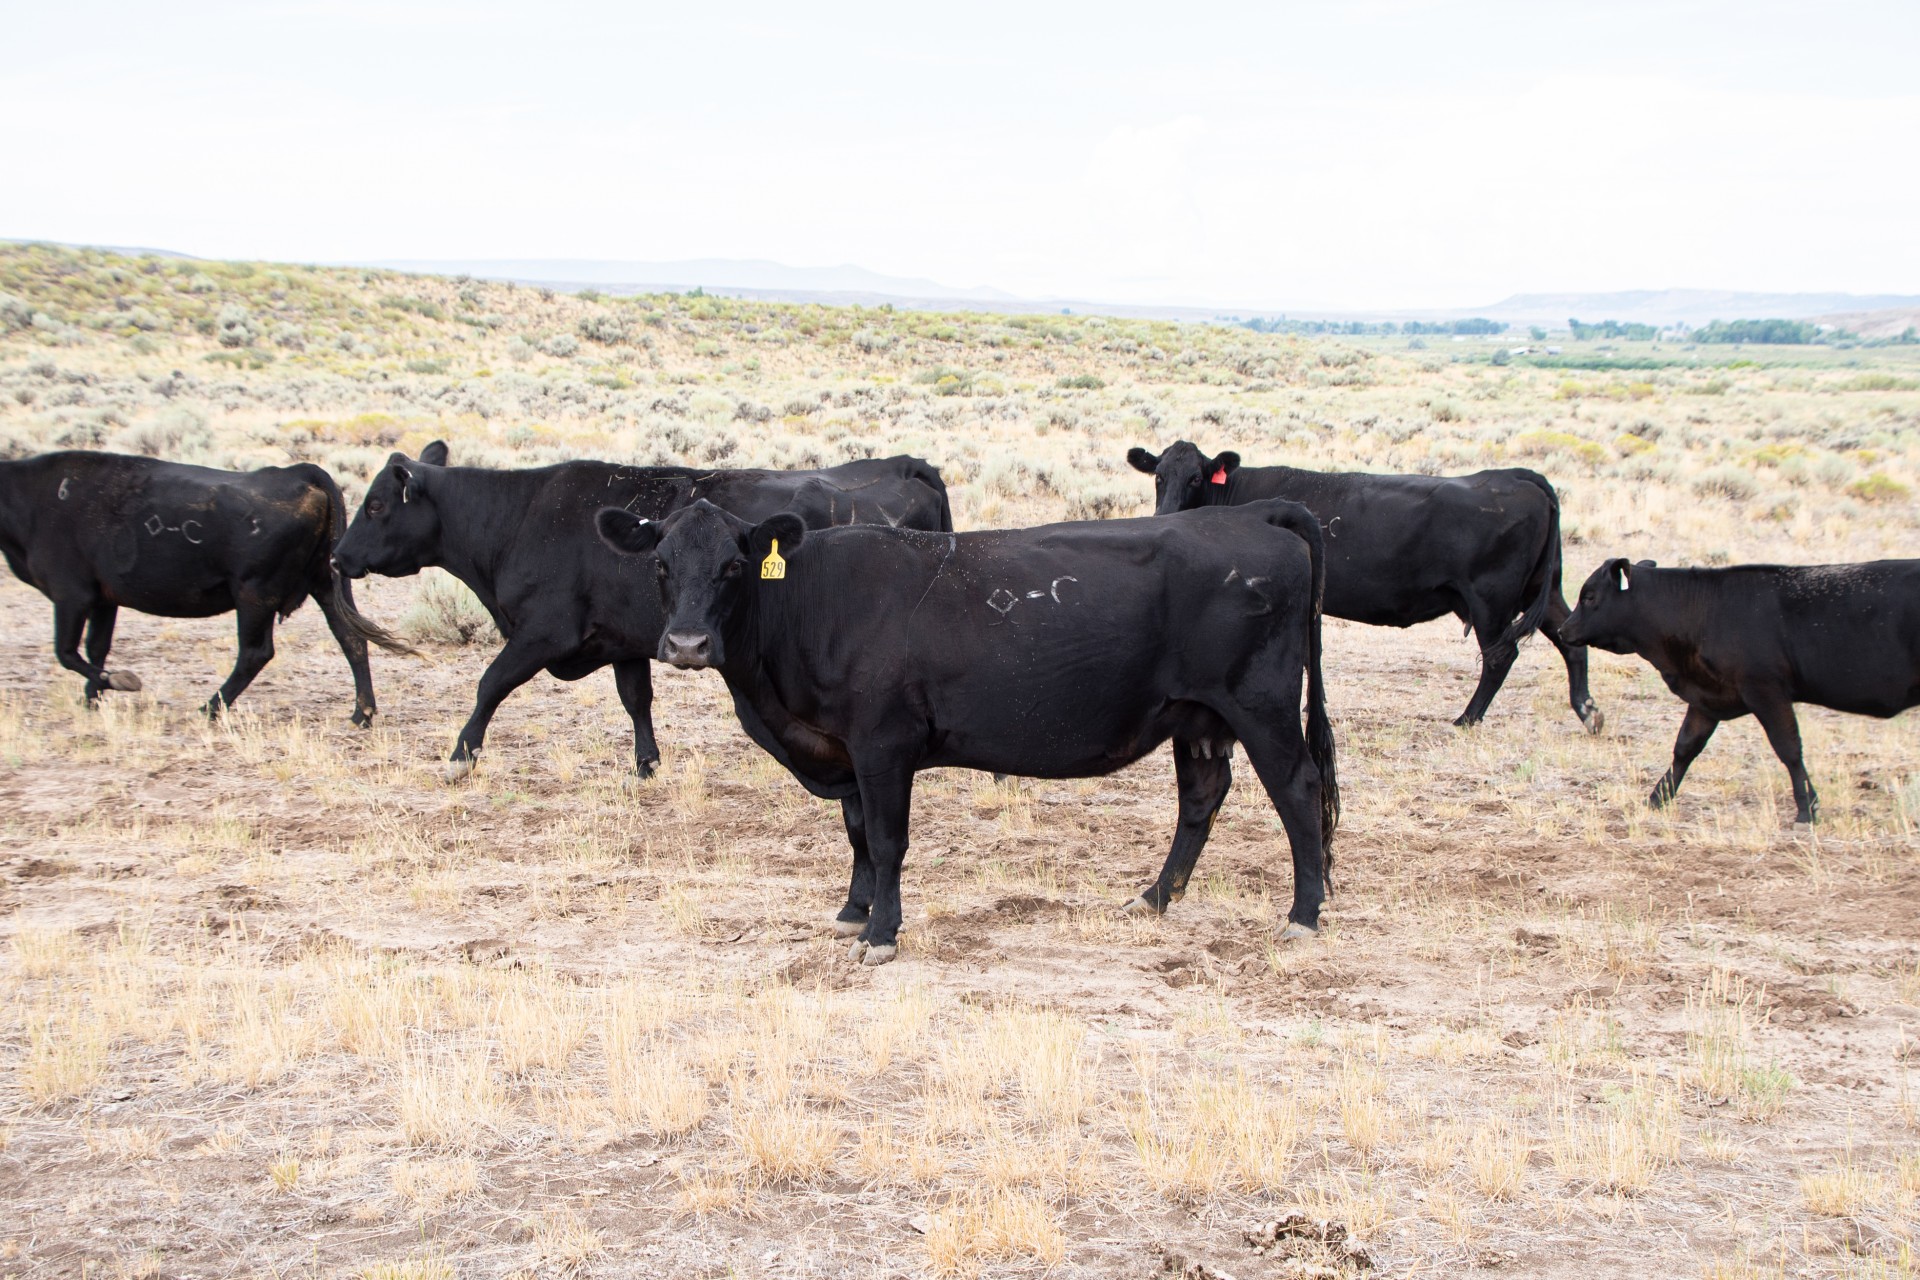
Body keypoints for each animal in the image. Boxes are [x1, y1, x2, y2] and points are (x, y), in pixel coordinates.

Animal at [0, 450, 413, 723]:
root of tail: (301, 472)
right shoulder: (104, 600)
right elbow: (95, 648)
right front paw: (92, 700)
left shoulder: (72, 595)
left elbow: (67, 652)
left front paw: (119, 682)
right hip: (326, 585)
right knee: (351, 638)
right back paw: (362, 712)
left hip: (255, 594)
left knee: (256, 652)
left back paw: (209, 707)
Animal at [330, 442, 952, 781]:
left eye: (377, 504)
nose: (337, 556)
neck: (521, 517)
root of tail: (906, 464)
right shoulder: (624, 641)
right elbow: (636, 700)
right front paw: (647, 764)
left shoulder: (542, 632)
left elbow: (491, 683)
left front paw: (462, 755)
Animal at [594, 496, 1339, 965]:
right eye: (660, 564)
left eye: (733, 565)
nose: (686, 645)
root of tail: (1248, 512)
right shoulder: (847, 751)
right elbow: (857, 834)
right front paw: (853, 910)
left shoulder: (883, 744)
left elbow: (888, 840)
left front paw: (881, 934)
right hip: (1196, 716)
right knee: (1201, 798)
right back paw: (1153, 898)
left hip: (1262, 706)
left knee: (1298, 793)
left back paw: (1302, 918)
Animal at [1129, 440, 1601, 733]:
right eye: (1159, 476)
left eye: (1196, 478)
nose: (1164, 513)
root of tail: (1517, 475)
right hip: (1542, 588)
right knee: (1571, 639)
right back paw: (1588, 712)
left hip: (1491, 597)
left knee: (1501, 656)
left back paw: (1467, 718)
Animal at [1561, 556, 1920, 825]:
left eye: (1589, 596)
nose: (1565, 629)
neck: (1702, 611)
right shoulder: (1707, 697)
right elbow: (1685, 747)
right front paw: (1657, 798)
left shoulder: (1766, 690)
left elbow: (1789, 749)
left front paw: (1807, 810)